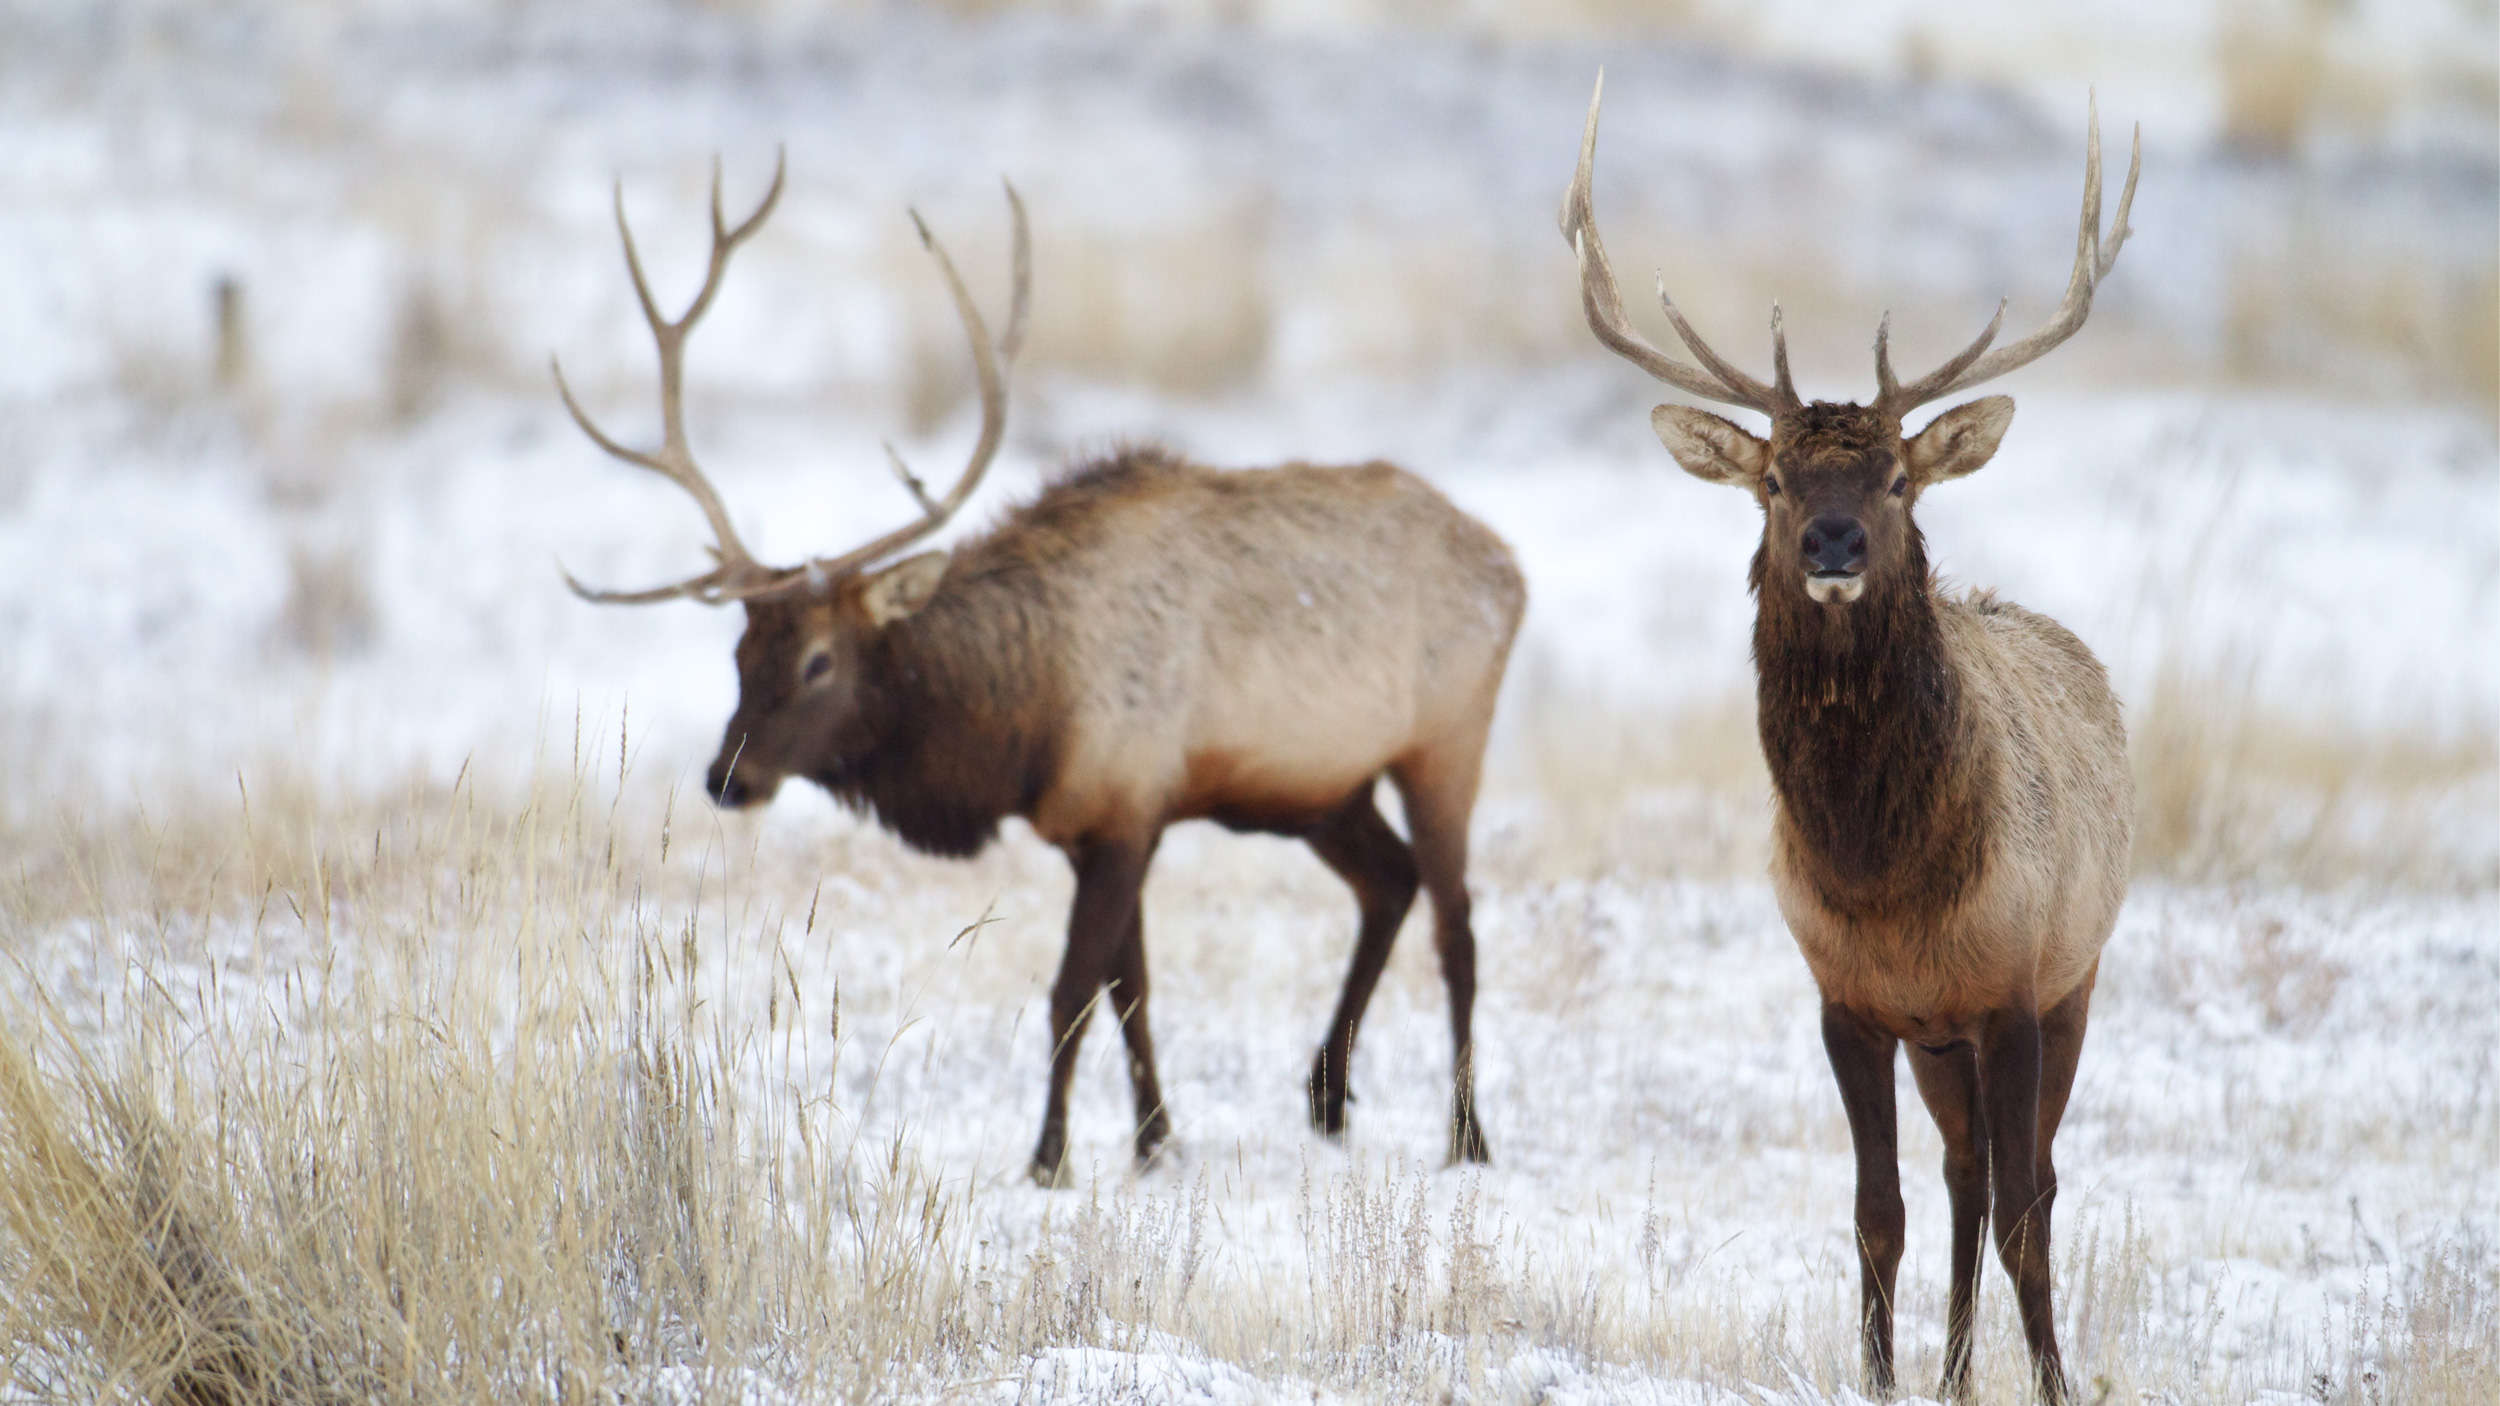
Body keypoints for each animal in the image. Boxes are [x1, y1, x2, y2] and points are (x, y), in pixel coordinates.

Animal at [553, 156, 1526, 1188]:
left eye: (819, 660)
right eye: (739, 653)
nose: (726, 778)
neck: (1023, 719)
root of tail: (1510, 566)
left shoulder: (1130, 807)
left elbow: (1070, 993)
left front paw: (1049, 1158)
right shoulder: (1095, 822)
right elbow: (1130, 988)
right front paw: (1153, 1141)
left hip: (1445, 741)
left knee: (1458, 924)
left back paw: (1466, 1135)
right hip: (1320, 790)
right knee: (1390, 884)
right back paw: (1328, 1097)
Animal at [1560, 77, 2138, 1404]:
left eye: (1896, 479)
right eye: (1773, 479)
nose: (1833, 542)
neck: (1887, 877)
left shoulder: (2016, 985)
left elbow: (2029, 1210)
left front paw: (2050, 1380)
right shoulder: (1847, 995)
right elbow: (1877, 1210)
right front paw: (1881, 1375)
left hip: (2077, 976)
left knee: (2026, 1178)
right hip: (1940, 1039)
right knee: (1964, 1172)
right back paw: (1953, 1372)